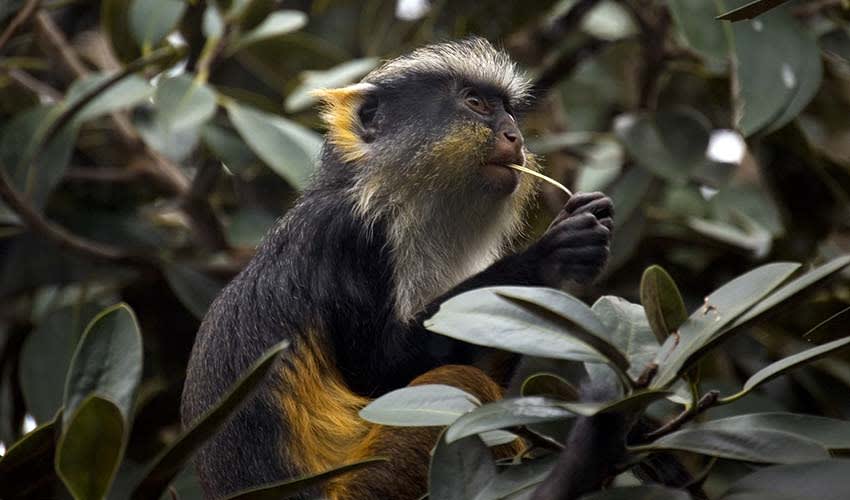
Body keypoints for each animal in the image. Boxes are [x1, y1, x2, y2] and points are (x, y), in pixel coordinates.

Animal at [180, 37, 614, 500]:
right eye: (475, 103)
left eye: (507, 111)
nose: (513, 135)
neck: (388, 197)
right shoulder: (347, 236)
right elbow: (378, 368)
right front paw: (550, 255)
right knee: (460, 381)